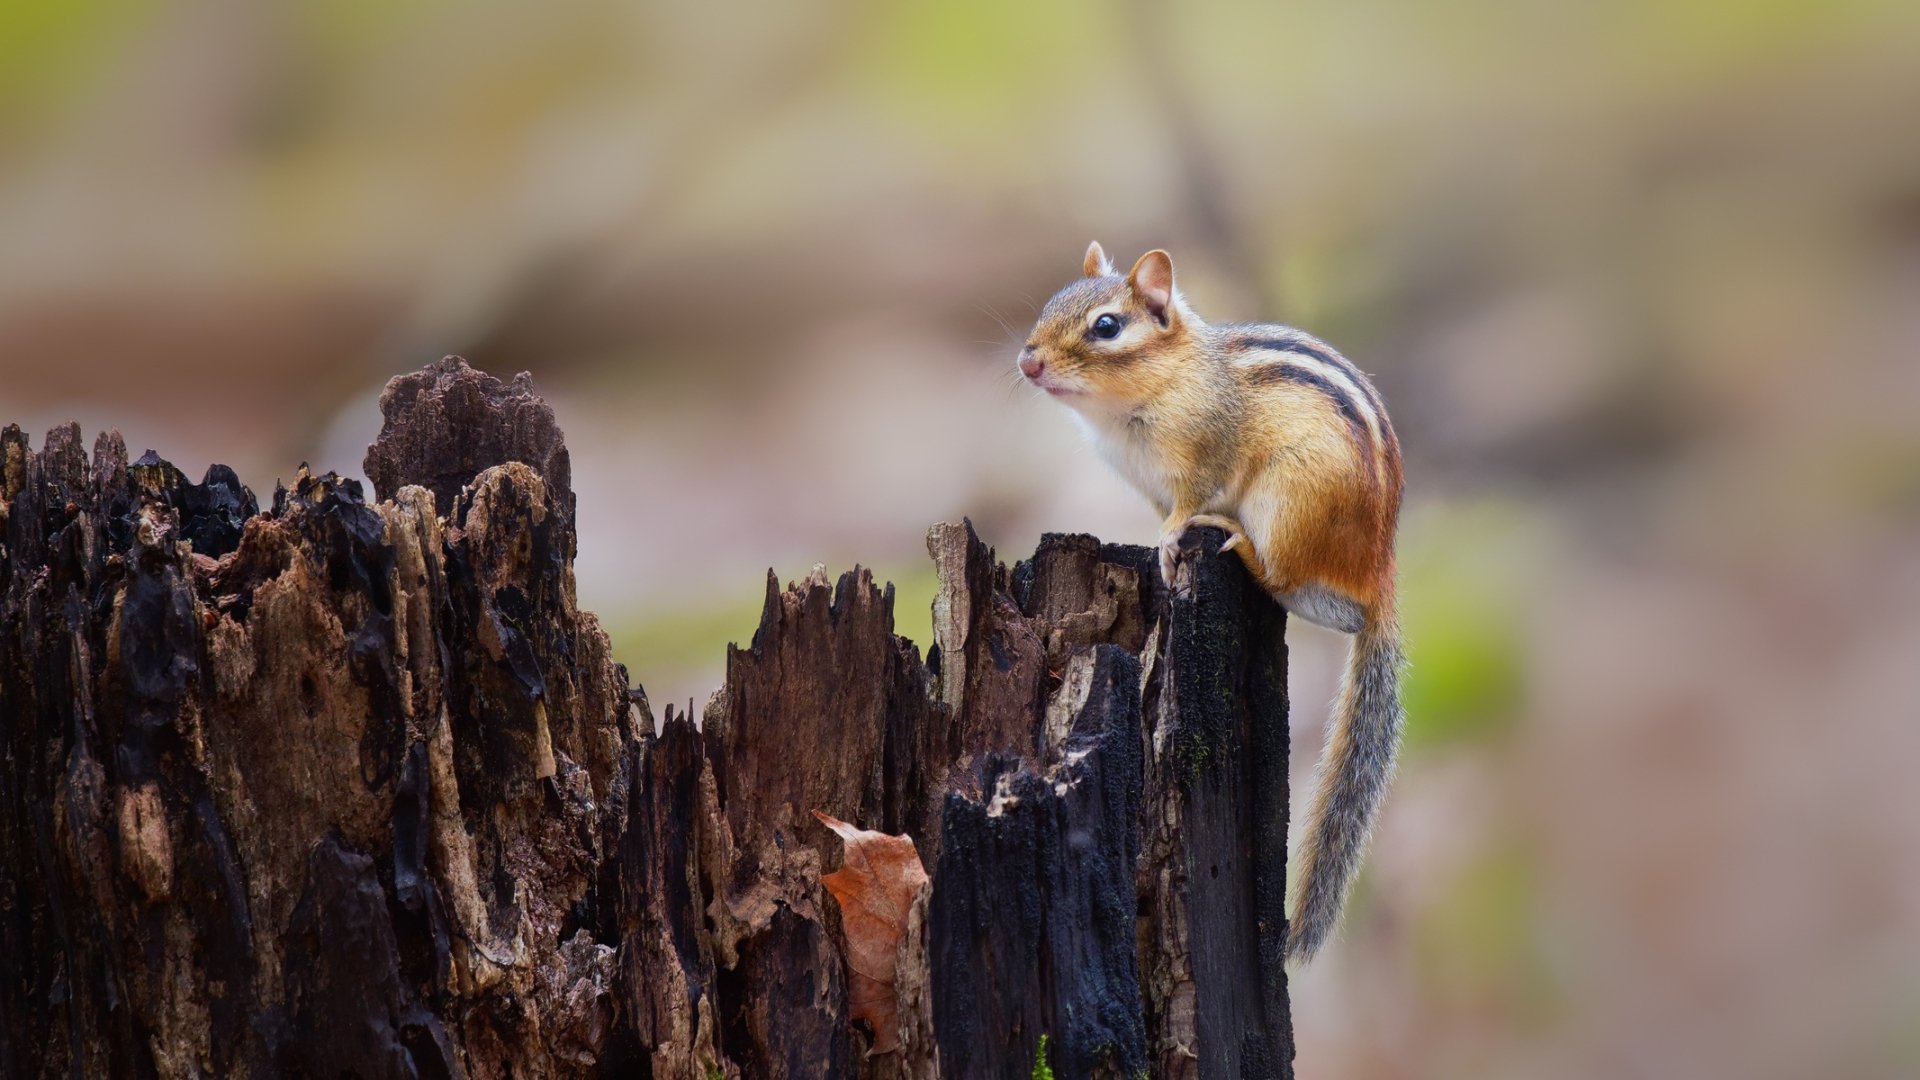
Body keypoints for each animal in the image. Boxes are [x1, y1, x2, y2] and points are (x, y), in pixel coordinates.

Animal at [1018, 242, 1405, 962]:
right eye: (1048, 305)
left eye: (1106, 327)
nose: (1028, 361)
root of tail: (1380, 574)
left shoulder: (1201, 458)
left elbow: (1189, 502)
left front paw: (1172, 543)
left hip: (1289, 502)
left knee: (1298, 589)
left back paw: (1241, 544)